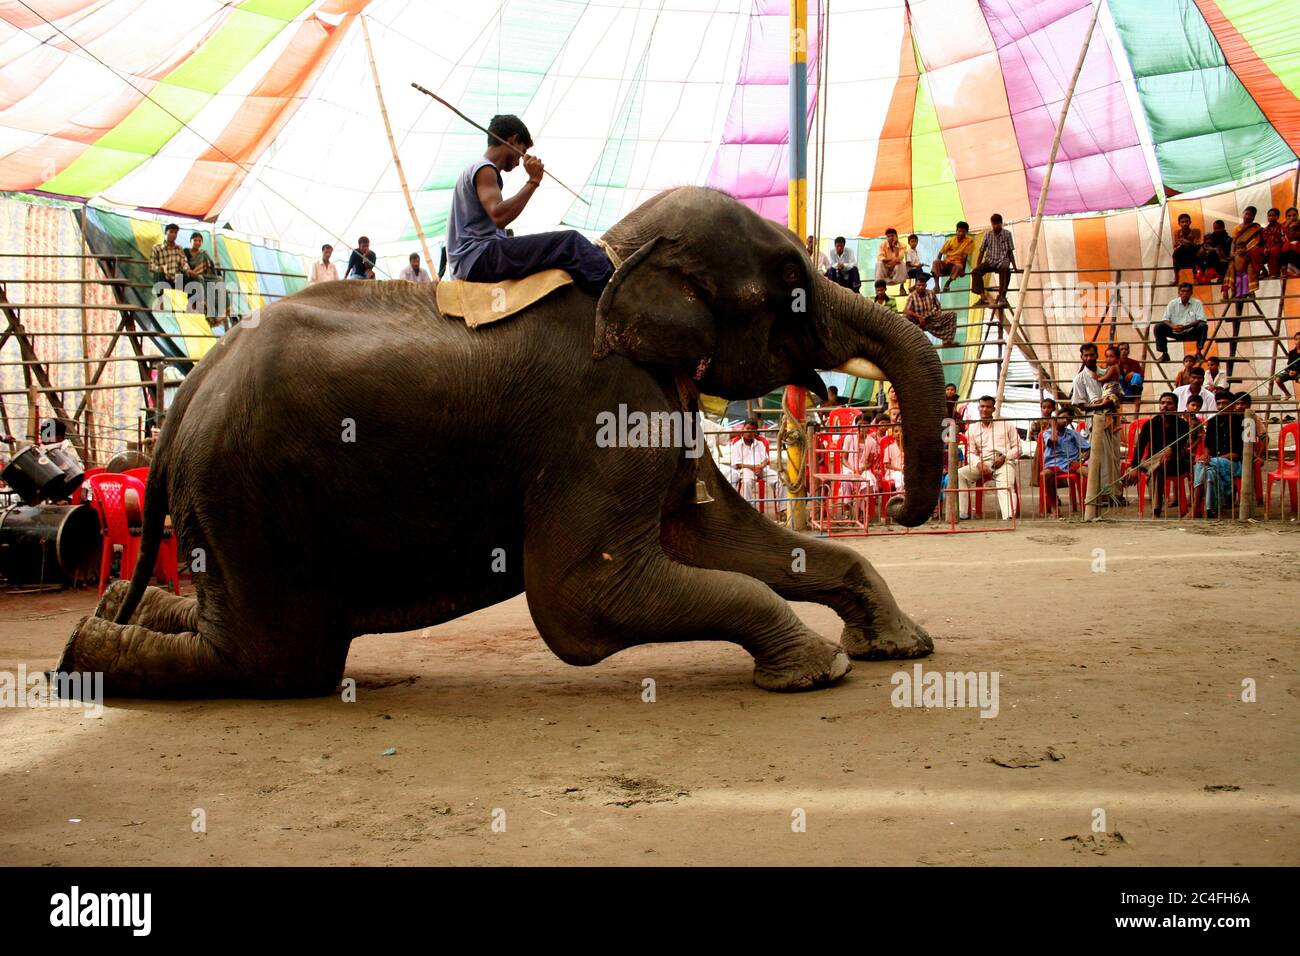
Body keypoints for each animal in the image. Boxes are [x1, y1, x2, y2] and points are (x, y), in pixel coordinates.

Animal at [57, 186, 945, 698]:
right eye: (790, 283)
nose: (903, 504)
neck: (619, 256)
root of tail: (189, 392)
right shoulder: (598, 410)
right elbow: (578, 600)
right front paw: (819, 670)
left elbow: (716, 537)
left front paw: (896, 649)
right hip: (248, 495)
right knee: (277, 659)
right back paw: (82, 651)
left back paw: (106, 618)